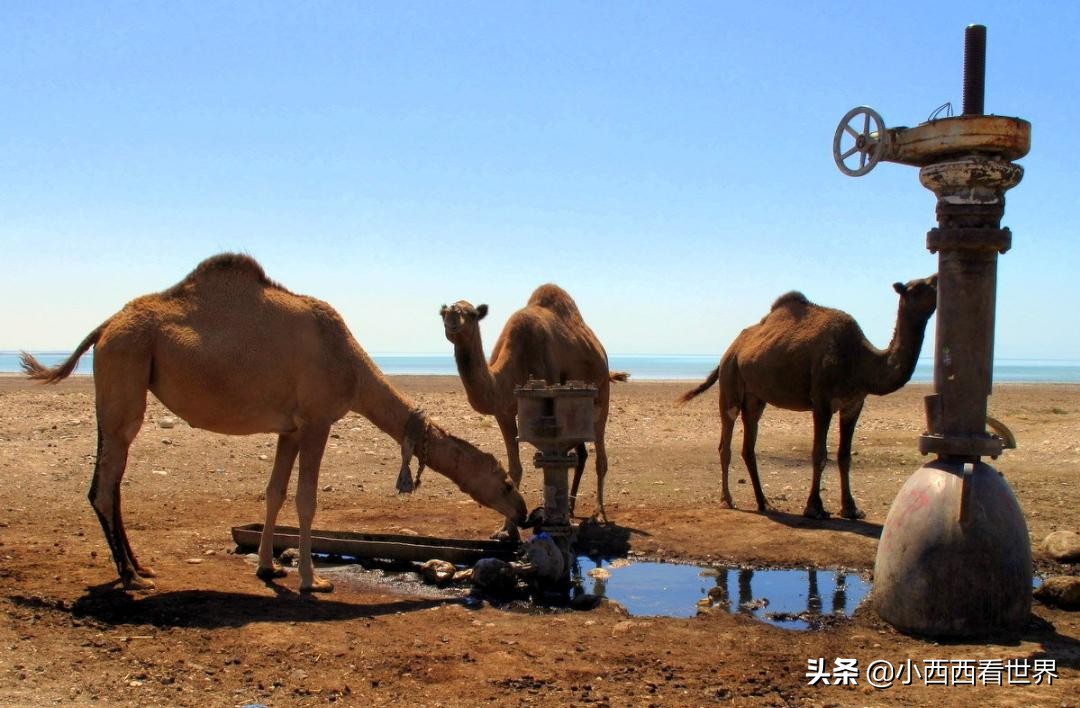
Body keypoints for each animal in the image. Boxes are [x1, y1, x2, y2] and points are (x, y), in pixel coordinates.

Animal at [21, 254, 527, 593]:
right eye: (504, 480)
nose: (524, 513)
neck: (352, 366)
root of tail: (104, 327)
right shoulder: (319, 419)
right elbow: (305, 499)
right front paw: (310, 580)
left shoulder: (291, 427)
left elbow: (274, 492)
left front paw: (267, 567)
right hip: (126, 365)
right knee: (105, 482)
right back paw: (131, 577)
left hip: (120, 373)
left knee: (113, 480)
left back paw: (141, 567)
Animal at [439, 284, 627, 536]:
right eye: (443, 313)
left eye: (471, 314)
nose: (452, 318)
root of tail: (601, 351)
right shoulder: (504, 413)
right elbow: (514, 468)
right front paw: (505, 528)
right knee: (581, 454)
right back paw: (570, 507)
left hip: (601, 397)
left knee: (600, 457)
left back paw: (598, 515)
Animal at [678, 275, 938, 520]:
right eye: (920, 286)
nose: (939, 278)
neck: (860, 359)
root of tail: (729, 350)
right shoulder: (822, 401)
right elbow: (819, 454)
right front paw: (815, 508)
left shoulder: (854, 404)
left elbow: (844, 456)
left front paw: (851, 509)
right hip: (730, 378)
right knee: (726, 440)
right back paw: (727, 500)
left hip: (755, 397)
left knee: (749, 445)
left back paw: (765, 503)